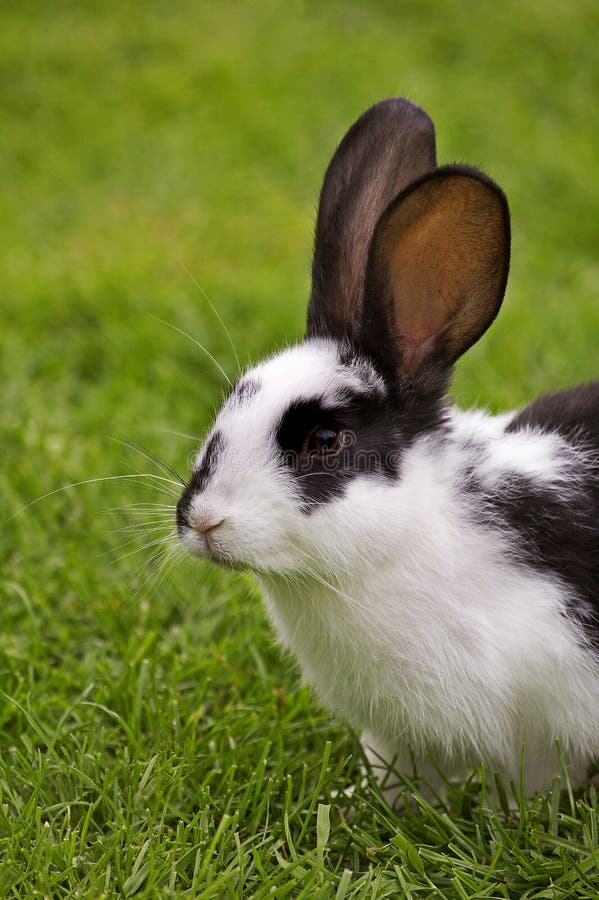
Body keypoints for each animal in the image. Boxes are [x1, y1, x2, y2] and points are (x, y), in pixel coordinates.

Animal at [175, 98, 599, 801]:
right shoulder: (400, 735)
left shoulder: (548, 715)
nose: (202, 521)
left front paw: (511, 817)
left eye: (324, 441)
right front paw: (364, 804)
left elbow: (530, 785)